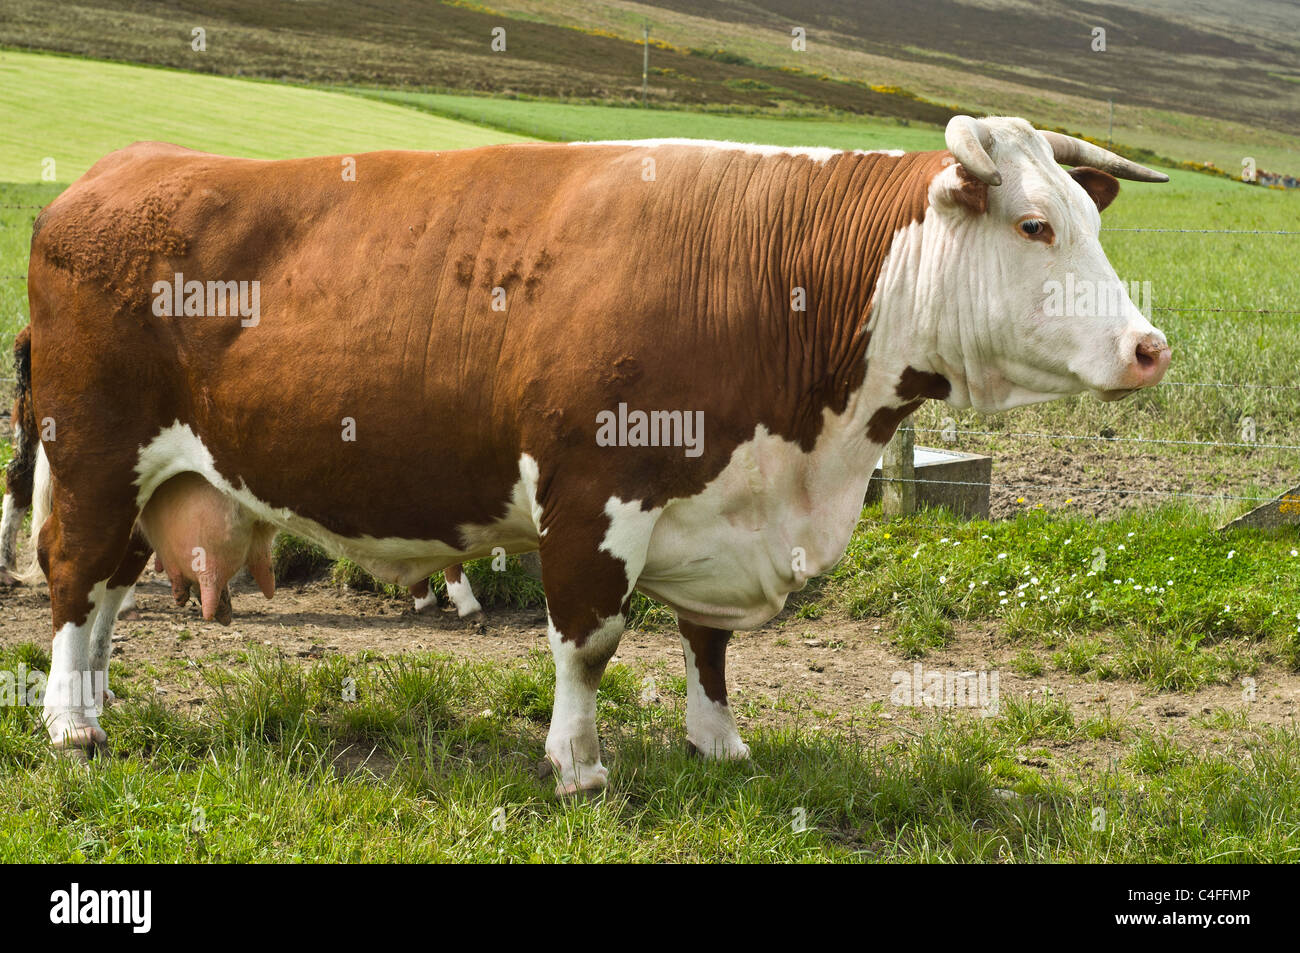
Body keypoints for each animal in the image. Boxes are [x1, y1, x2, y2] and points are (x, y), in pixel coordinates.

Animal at [10, 116, 1170, 795]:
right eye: (1033, 226)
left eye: (1085, 217)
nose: (1148, 346)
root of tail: (113, 172)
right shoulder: (595, 492)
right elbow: (591, 640)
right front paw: (578, 765)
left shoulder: (724, 506)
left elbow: (708, 643)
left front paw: (719, 744)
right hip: (94, 452)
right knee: (72, 578)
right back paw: (70, 726)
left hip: (157, 472)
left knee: (107, 592)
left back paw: (97, 703)